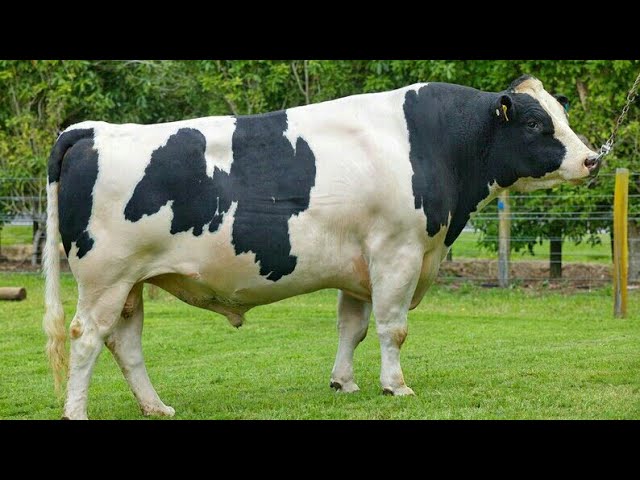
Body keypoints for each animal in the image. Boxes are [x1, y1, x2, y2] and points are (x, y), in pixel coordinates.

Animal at [43, 75, 600, 419]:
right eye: (536, 123)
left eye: (562, 116)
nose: (592, 159)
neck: (437, 143)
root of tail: (90, 129)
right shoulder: (397, 252)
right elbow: (393, 328)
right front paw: (396, 386)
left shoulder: (359, 263)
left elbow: (352, 327)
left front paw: (344, 383)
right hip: (105, 278)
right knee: (87, 338)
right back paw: (77, 411)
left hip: (131, 283)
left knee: (125, 343)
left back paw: (156, 406)